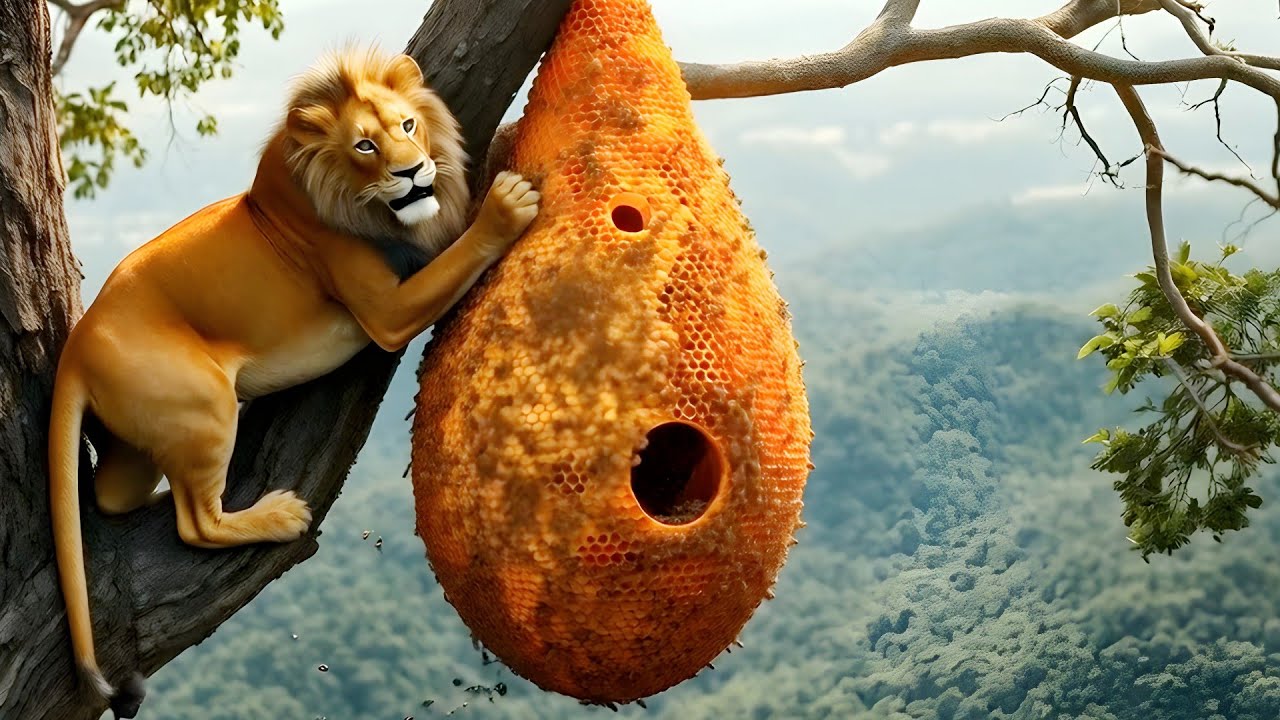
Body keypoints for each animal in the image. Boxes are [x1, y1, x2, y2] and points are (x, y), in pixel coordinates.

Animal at [47, 47, 539, 718]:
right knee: (195, 523)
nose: (414, 173)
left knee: (114, 496)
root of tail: (74, 349)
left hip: (140, 441)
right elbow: (462, 252)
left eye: (408, 125)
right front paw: (507, 204)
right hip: (203, 401)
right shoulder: (384, 311)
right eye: (364, 145)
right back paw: (276, 514)